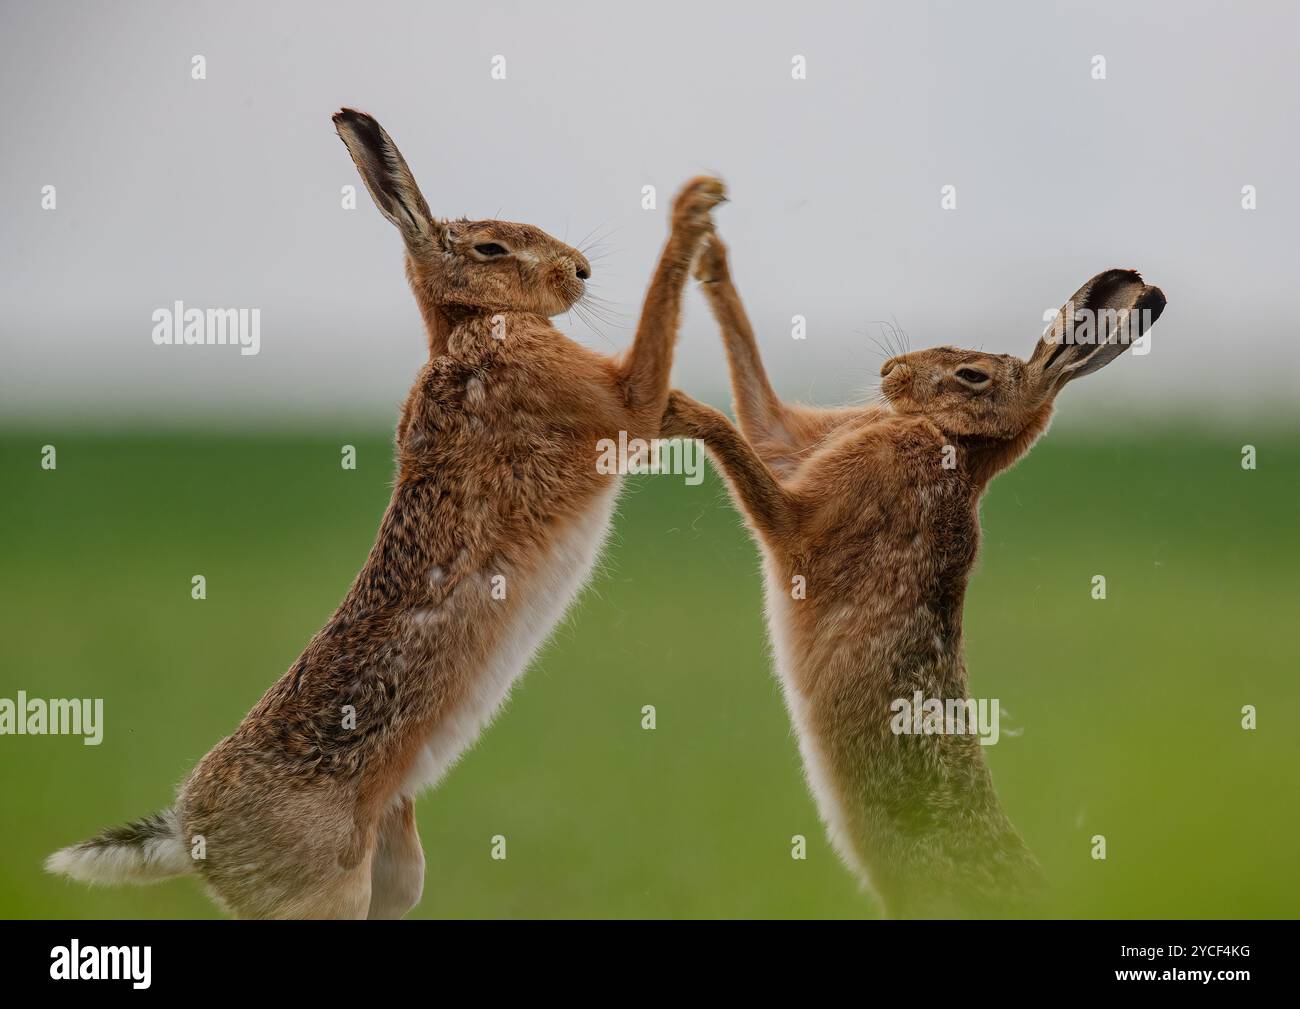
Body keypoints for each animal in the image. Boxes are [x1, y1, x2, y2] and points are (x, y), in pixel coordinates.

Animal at [44, 108, 726, 919]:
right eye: (492, 248)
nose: (581, 271)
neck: (473, 323)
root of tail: (188, 831)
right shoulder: (617, 404)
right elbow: (653, 356)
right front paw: (693, 213)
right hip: (328, 892)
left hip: (397, 867)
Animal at [663, 232, 1166, 918]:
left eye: (971, 375)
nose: (890, 370)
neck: (954, 445)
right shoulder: (798, 445)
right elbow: (759, 409)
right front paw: (710, 251)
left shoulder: (805, 527)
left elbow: (745, 455)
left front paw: (676, 409)